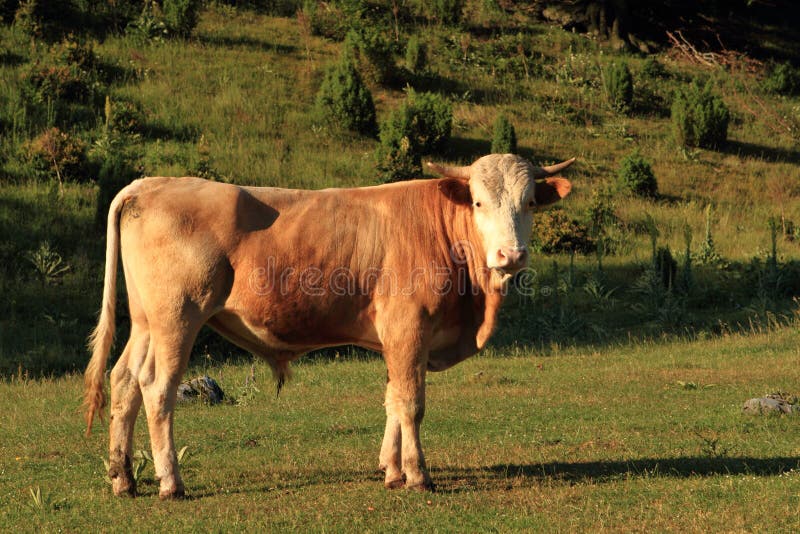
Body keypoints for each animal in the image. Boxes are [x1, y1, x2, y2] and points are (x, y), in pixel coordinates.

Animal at [83, 153, 574, 498]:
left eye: (530, 202)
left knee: (123, 380)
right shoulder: (409, 327)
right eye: (477, 201)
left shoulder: (396, 338)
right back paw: (171, 482)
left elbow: (392, 400)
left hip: (145, 322)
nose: (511, 255)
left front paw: (391, 470)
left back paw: (123, 478)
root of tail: (151, 183)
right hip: (177, 317)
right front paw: (417, 475)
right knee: (157, 388)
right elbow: (411, 402)